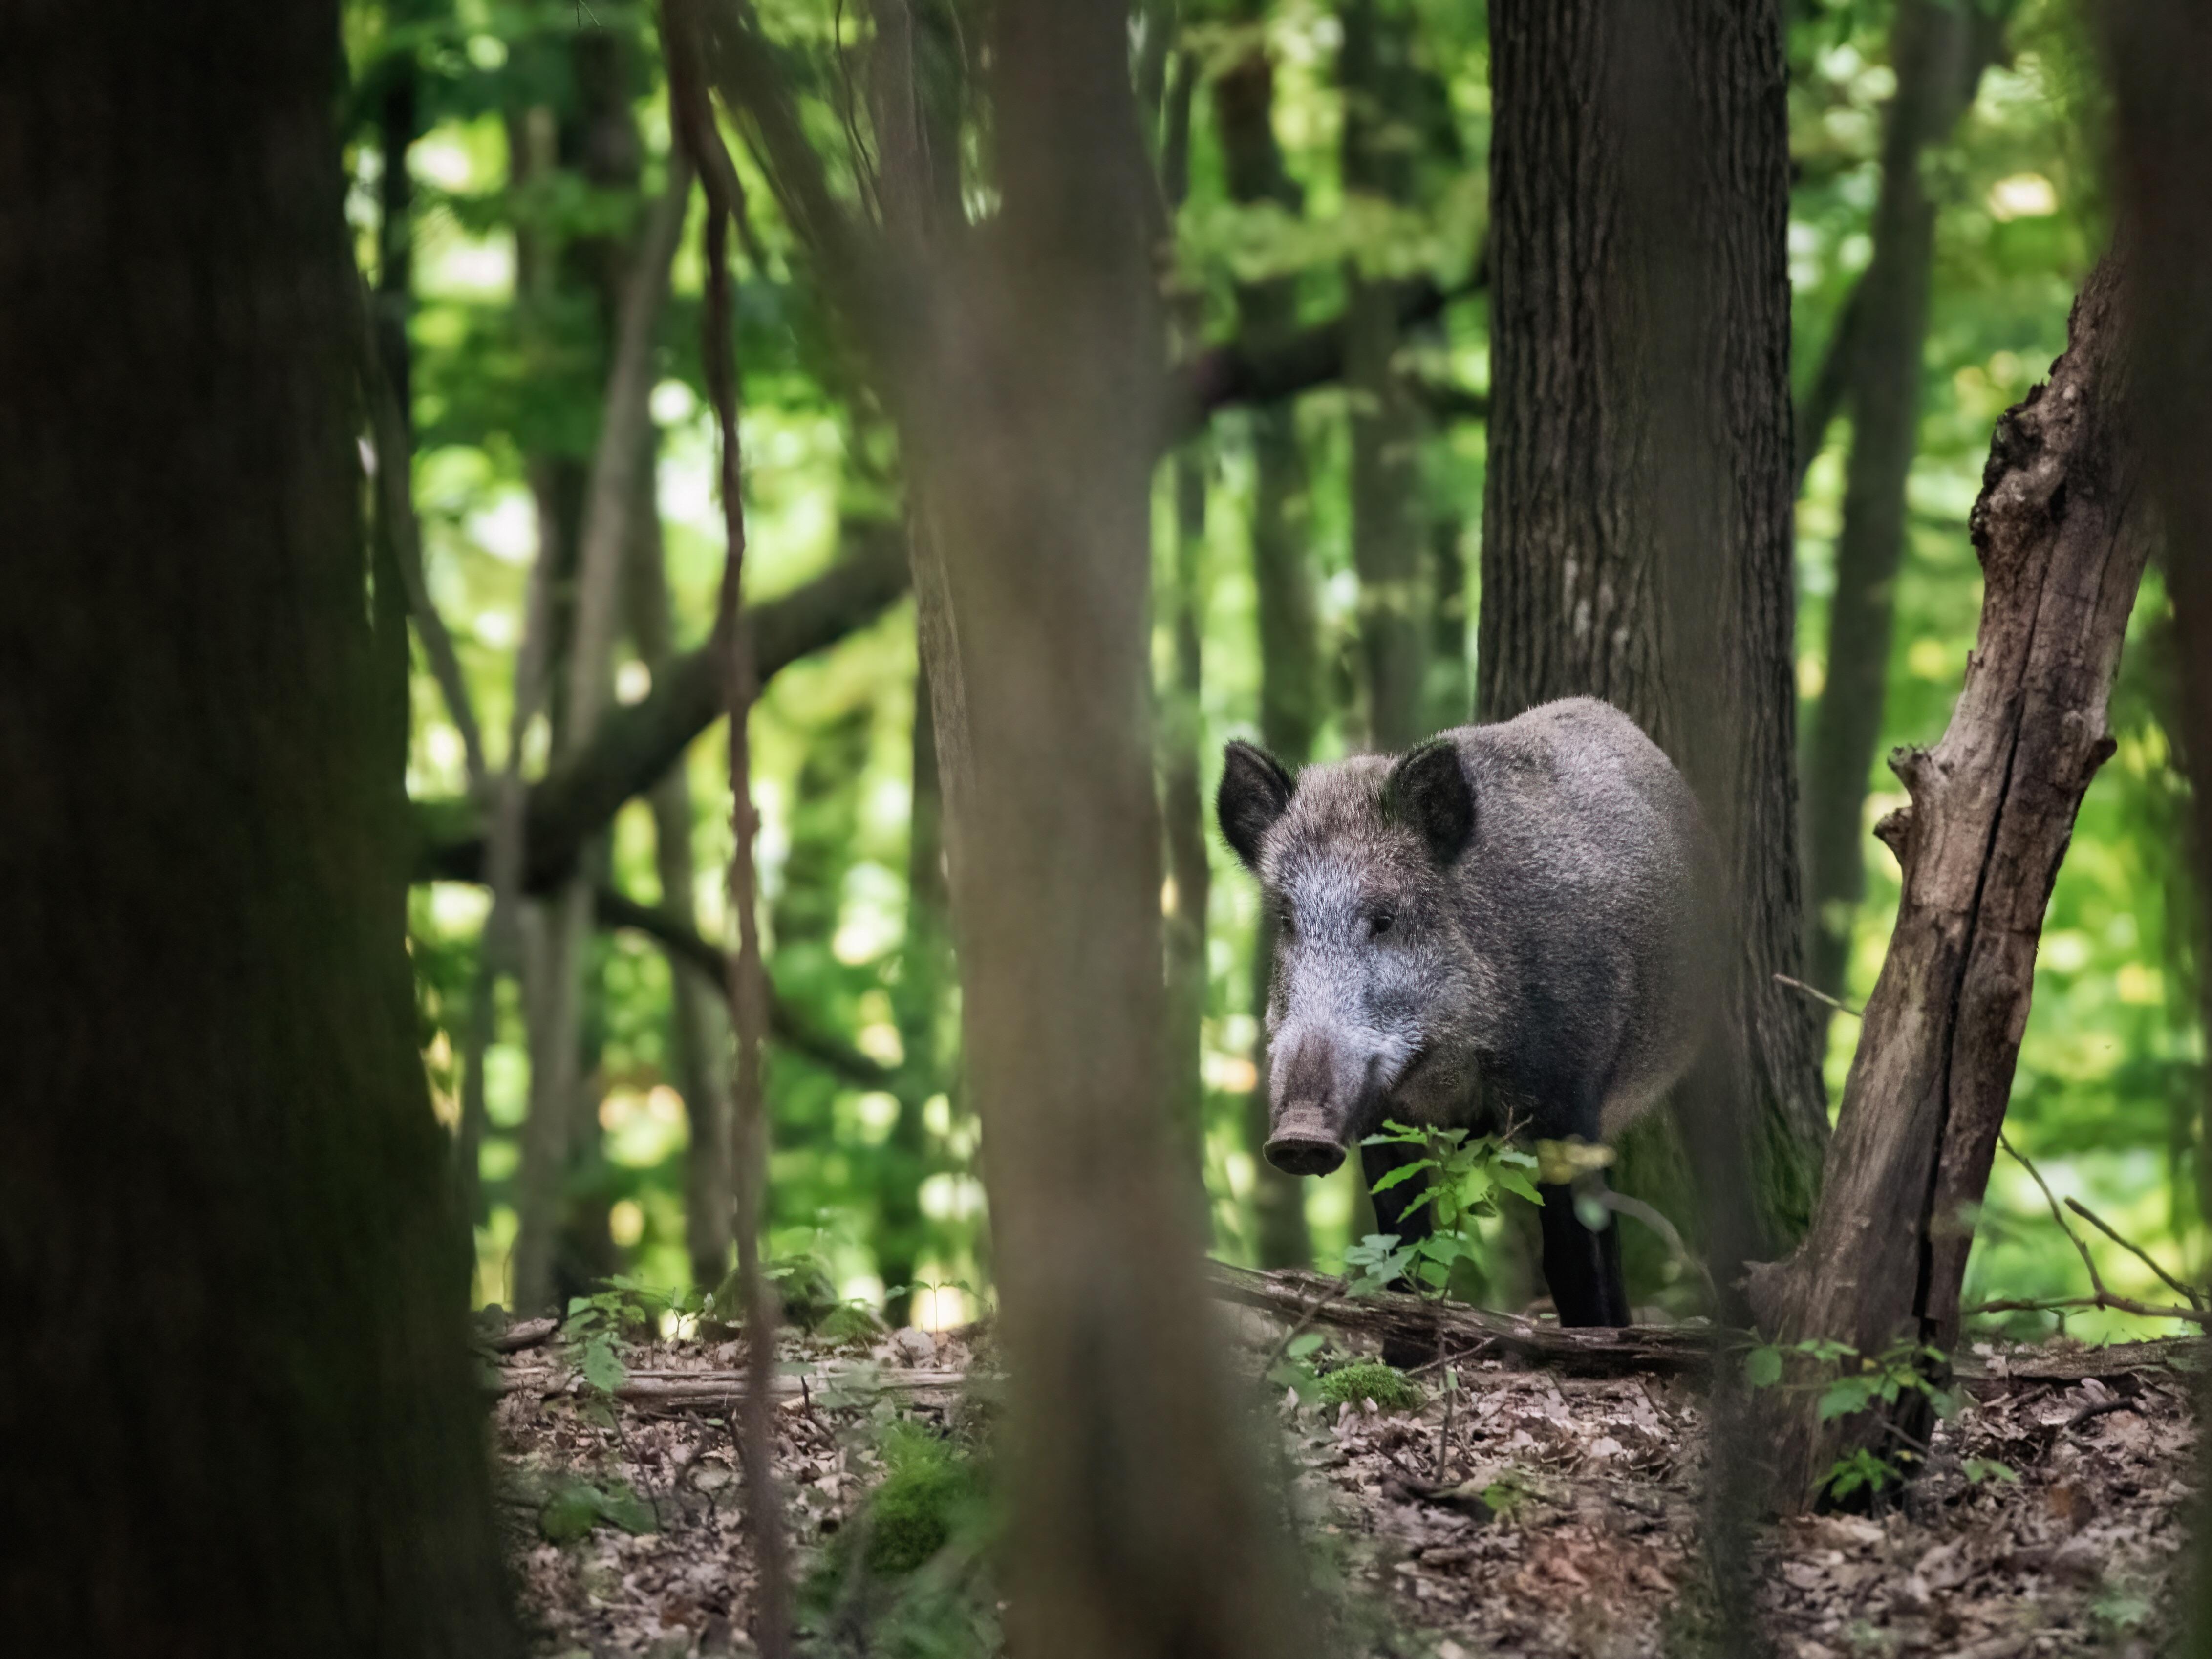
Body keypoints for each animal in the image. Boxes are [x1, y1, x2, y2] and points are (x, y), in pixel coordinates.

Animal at [1216, 696, 1718, 1327]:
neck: (1445, 1065)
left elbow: (1571, 1255)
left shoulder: (1563, 1095)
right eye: (1286, 920)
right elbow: (1400, 1245)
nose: (1298, 1134)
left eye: (1384, 919)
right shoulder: (1384, 1124)